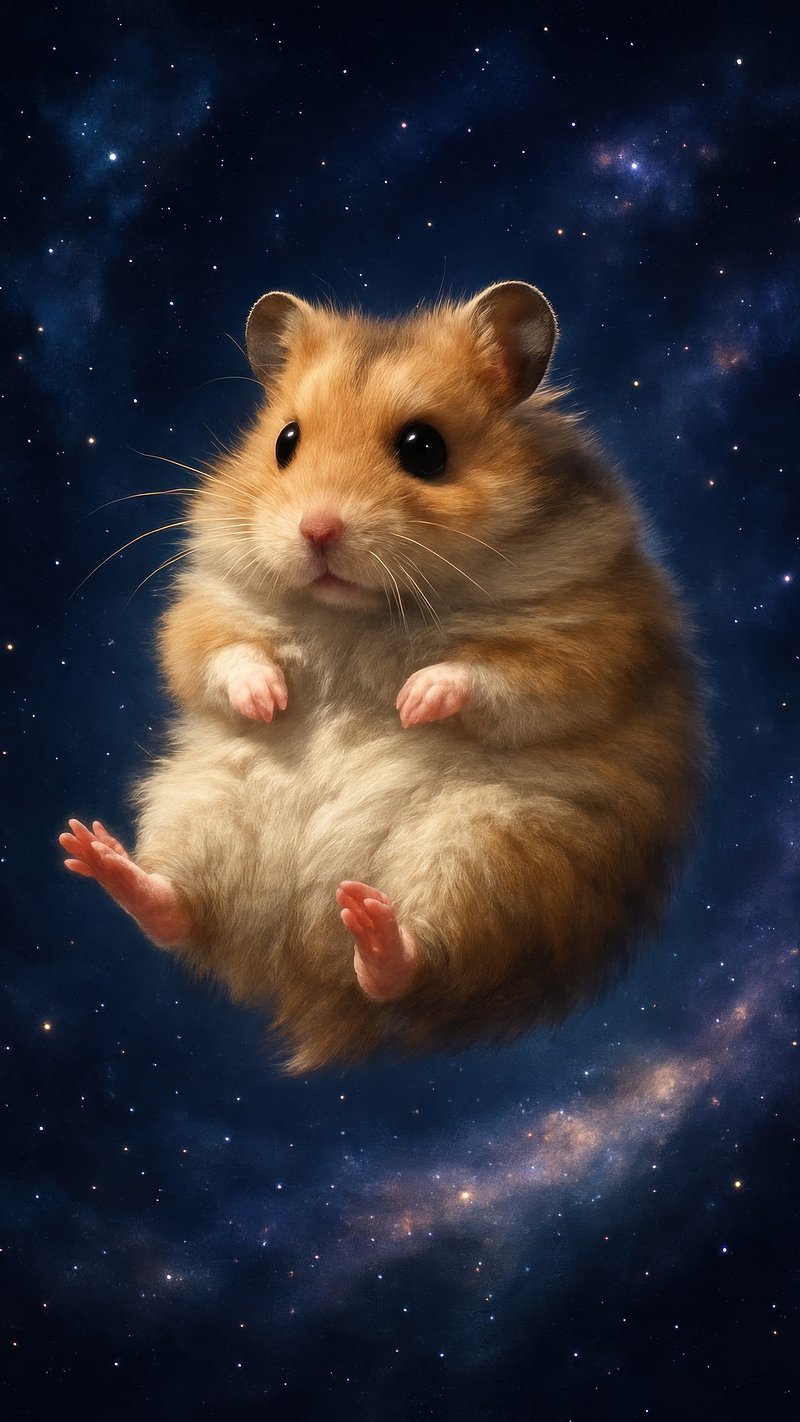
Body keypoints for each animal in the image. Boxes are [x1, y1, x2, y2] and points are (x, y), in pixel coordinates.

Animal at [60, 281, 711, 1074]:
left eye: (423, 449)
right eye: (285, 442)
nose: (316, 530)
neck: (362, 612)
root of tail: (306, 963)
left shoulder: (590, 631)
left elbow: (500, 673)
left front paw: (411, 702)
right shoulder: (206, 604)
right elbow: (215, 652)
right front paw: (271, 699)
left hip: (499, 853)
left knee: (417, 964)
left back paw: (374, 929)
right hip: (199, 803)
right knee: (178, 915)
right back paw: (98, 855)